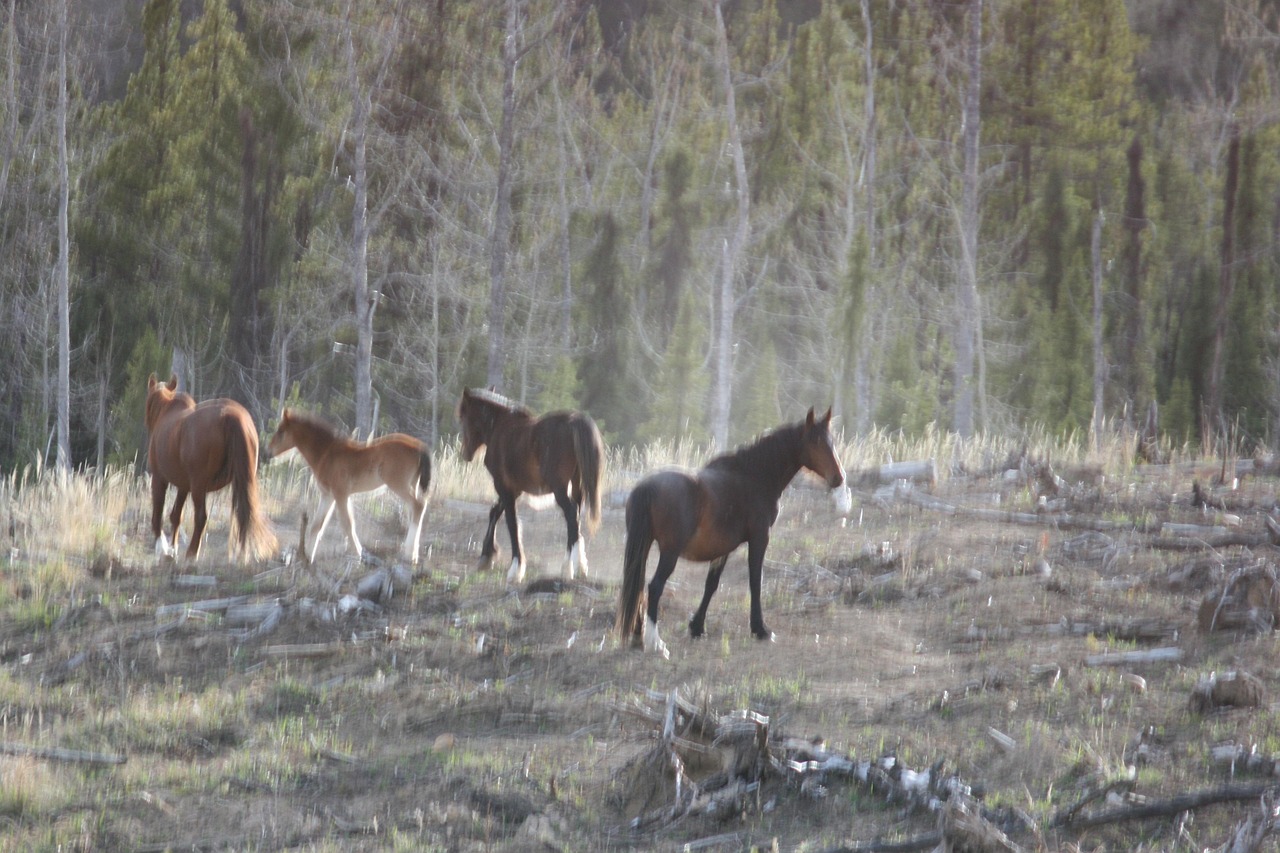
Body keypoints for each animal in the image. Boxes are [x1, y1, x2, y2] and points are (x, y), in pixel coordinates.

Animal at [145, 373, 277, 562]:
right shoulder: (184, 485)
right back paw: (241, 554)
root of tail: (230, 415)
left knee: (201, 517)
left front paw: (162, 548)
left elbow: (158, 514)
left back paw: (192, 554)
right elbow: (176, 515)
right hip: (241, 482)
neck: (166, 410)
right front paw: (173, 548)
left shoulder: (159, 478)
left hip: (199, 487)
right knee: (244, 514)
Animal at [265, 408, 432, 564]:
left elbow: (347, 525)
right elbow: (317, 526)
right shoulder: (328, 495)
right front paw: (308, 558)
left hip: (398, 484)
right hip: (411, 484)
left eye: (281, 431)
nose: (268, 453)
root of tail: (419, 446)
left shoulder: (341, 494)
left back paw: (409, 555)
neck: (327, 454)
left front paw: (360, 557)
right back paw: (413, 555)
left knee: (419, 505)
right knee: (415, 510)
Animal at [456, 388, 605, 584]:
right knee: (577, 517)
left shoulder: (504, 488)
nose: (465, 453)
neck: (499, 428)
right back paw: (577, 567)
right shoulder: (514, 490)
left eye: (463, 416)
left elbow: (511, 524)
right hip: (576, 485)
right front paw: (487, 556)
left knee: (571, 514)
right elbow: (495, 512)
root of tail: (574, 420)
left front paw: (515, 570)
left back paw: (570, 568)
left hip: (559, 489)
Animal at [616, 408, 850, 659]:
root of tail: (648, 487)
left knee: (638, 587)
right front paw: (760, 629)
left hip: (644, 547)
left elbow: (711, 584)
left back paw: (638, 637)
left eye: (831, 441)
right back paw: (655, 642)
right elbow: (755, 581)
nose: (838, 478)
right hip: (669, 552)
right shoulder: (759, 538)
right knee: (654, 587)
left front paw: (697, 627)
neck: (753, 476)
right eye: (814, 442)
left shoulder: (721, 549)